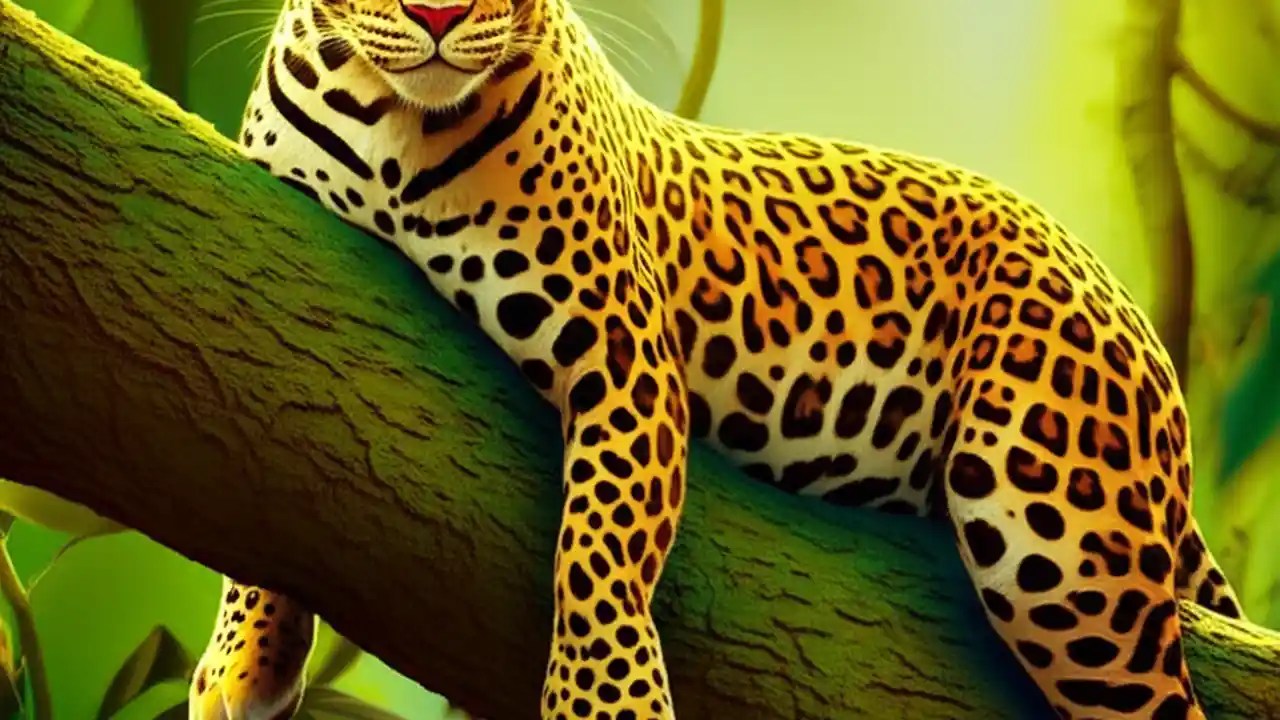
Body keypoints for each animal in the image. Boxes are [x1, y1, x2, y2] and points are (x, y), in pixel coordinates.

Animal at [188, 0, 1246, 718]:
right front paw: (245, 658)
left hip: (1056, 539)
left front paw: (605, 706)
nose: (439, 15)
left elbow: (598, 552)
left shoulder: (622, 350)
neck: (393, 120)